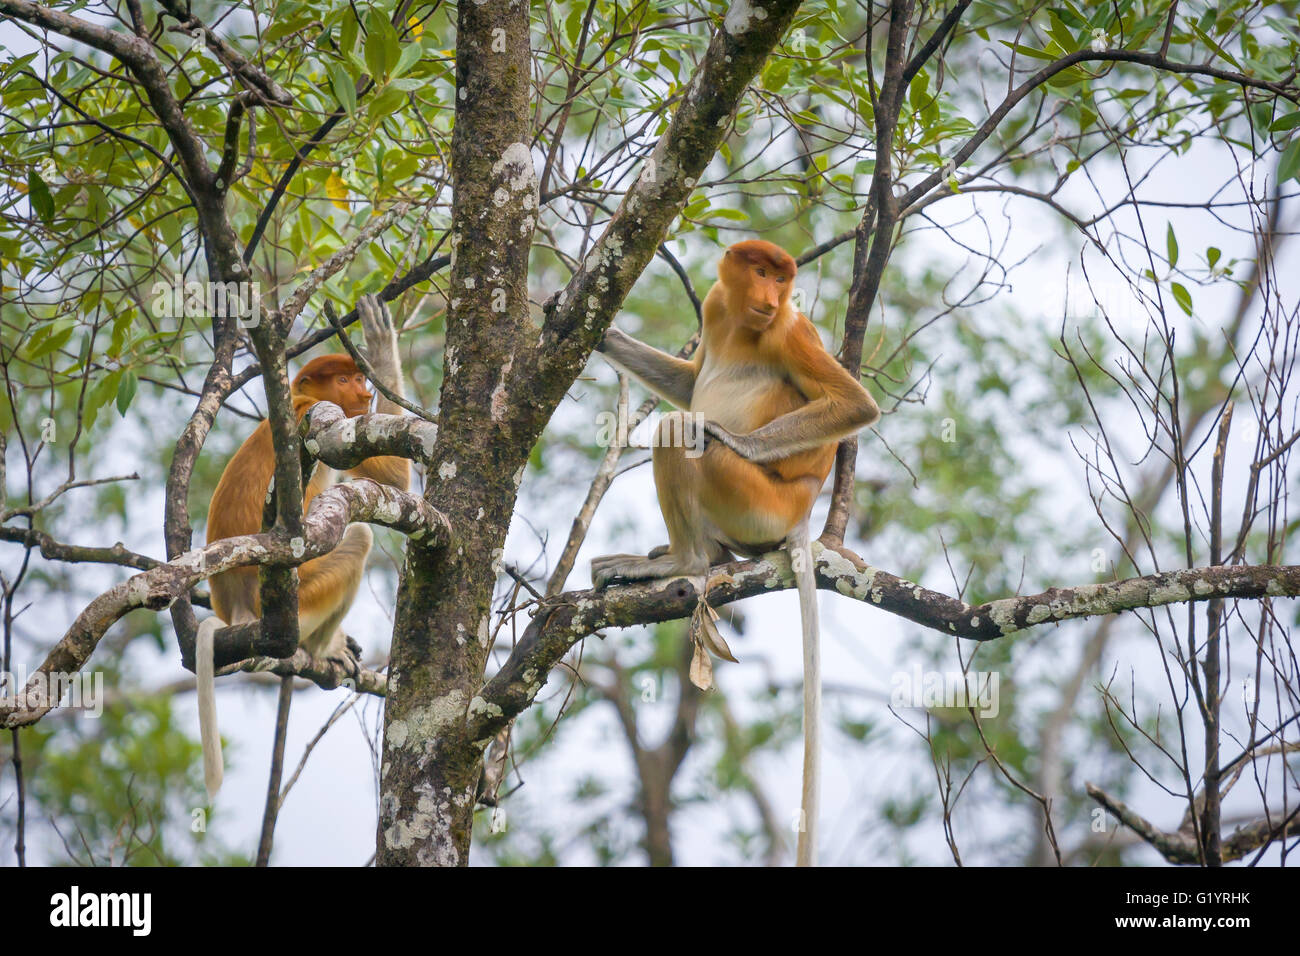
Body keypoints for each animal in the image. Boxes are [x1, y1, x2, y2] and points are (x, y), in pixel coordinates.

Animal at [196, 294, 409, 800]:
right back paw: (323, 649)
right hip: (303, 596)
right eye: (344, 379)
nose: (365, 393)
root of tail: (236, 609)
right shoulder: (327, 415)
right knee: (359, 538)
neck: (298, 397)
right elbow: (386, 482)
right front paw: (380, 343)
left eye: (357, 378)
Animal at [590, 240, 879, 867]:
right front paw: (599, 332)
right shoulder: (718, 307)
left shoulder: (790, 331)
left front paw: (729, 435)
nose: (772, 296)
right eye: (762, 272)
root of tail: (799, 515)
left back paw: (683, 561)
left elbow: (855, 405)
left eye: (782, 280)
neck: (746, 322)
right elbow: (688, 380)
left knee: (677, 428)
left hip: (754, 500)